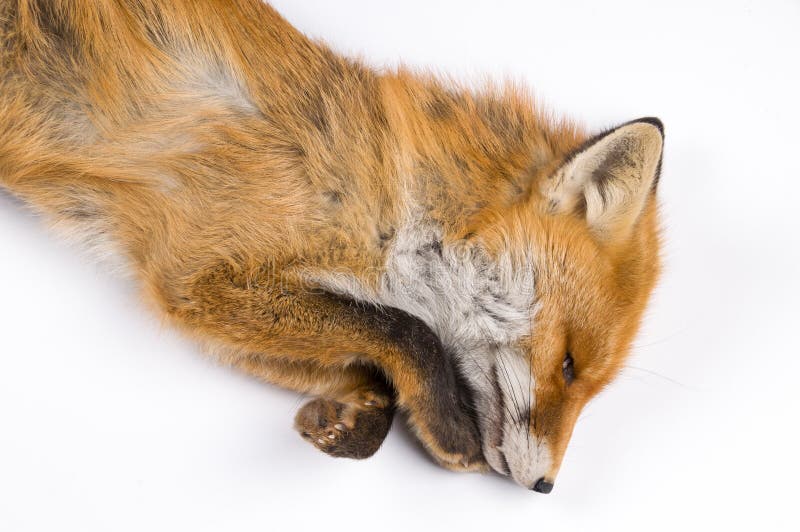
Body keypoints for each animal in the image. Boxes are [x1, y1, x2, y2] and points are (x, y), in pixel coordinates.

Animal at [0, 0, 663, 492]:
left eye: (589, 382)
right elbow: (403, 330)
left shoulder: (214, 308)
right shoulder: (200, 276)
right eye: (570, 365)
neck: (383, 187)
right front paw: (446, 427)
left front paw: (357, 417)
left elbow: (366, 351)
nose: (547, 487)